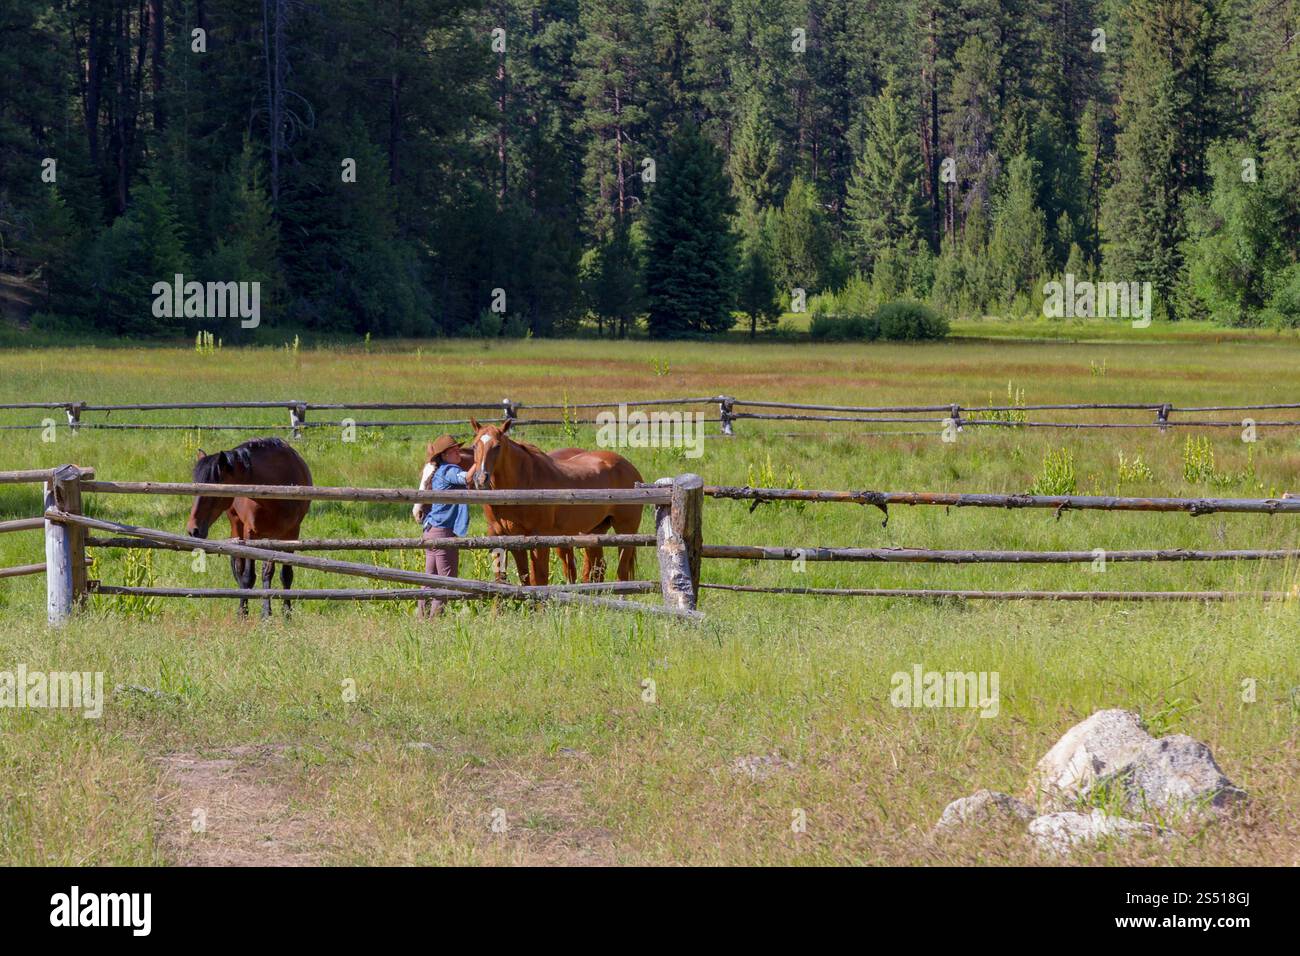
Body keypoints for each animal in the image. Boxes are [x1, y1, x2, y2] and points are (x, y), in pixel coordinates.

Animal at [186, 437, 313, 617]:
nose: (193, 529)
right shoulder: (250, 534)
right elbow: (247, 576)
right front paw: (243, 613)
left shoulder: (292, 533)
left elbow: (285, 575)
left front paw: (286, 614)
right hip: (238, 526)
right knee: (241, 569)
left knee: (267, 572)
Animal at [468, 418, 644, 585]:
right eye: (474, 446)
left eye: (497, 446)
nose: (480, 479)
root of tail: (630, 468)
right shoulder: (505, 537)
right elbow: (517, 579)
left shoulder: (538, 539)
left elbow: (538, 579)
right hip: (595, 532)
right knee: (597, 569)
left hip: (625, 530)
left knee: (622, 572)